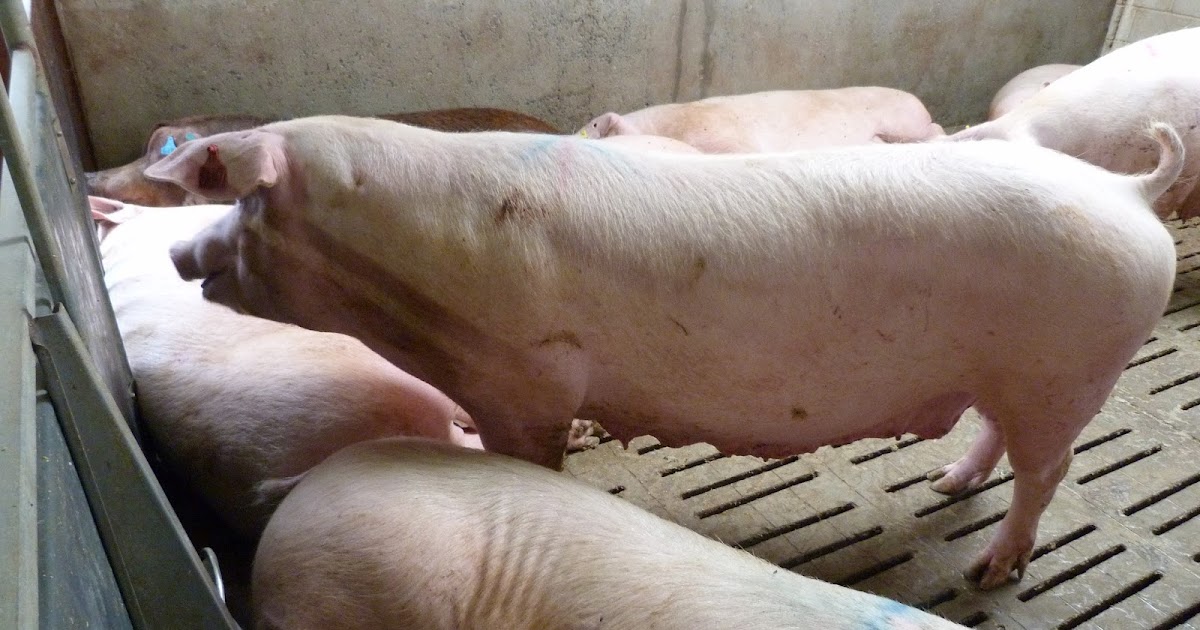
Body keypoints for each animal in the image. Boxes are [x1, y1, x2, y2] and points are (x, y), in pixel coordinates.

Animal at [152, 115, 1181, 588]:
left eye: (247, 207)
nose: (176, 253)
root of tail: (1128, 192)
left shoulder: (528, 381)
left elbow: (528, 460)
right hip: (1019, 376)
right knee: (997, 440)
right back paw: (945, 485)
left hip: (1069, 371)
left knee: (1047, 473)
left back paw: (989, 573)